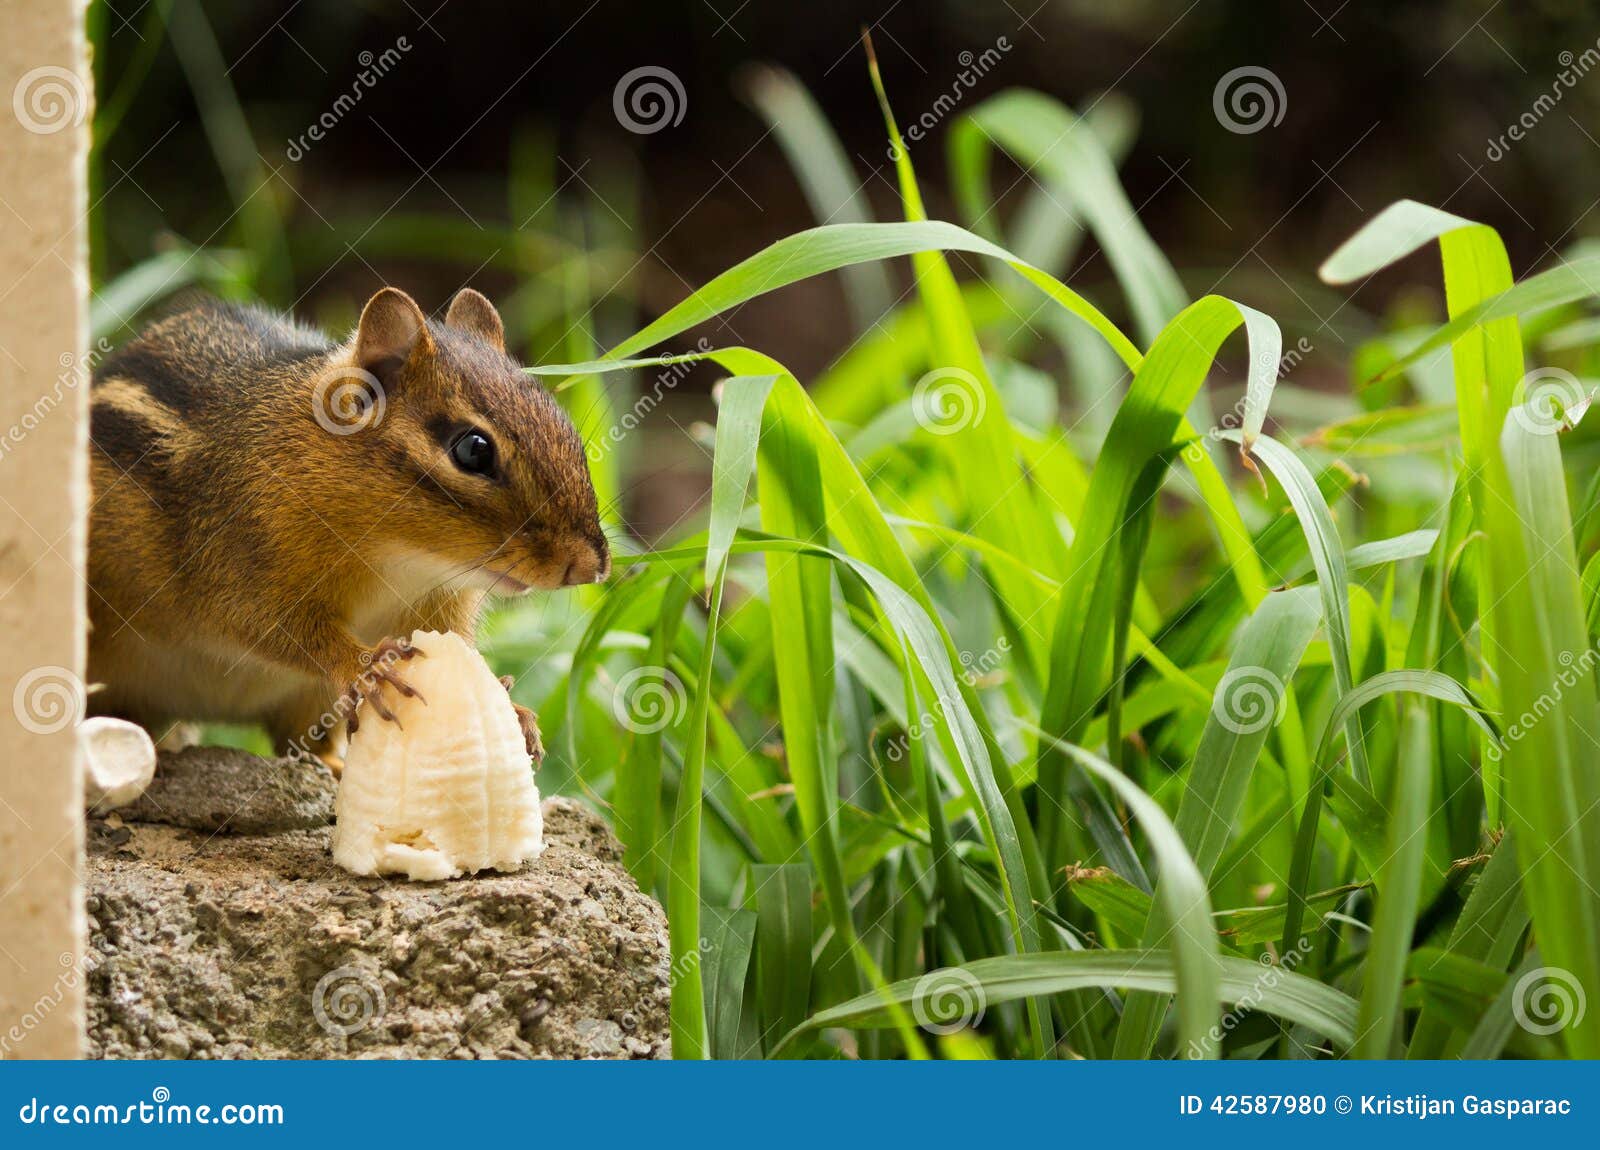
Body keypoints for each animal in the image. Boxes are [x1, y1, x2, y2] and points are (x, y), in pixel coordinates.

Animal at [86, 286, 610, 769]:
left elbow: (457, 643)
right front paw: (368, 667)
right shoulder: (236, 563)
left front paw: (513, 707)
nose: (592, 566)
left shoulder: (441, 601)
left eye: (566, 427)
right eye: (473, 450)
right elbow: (269, 625)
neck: (400, 558)